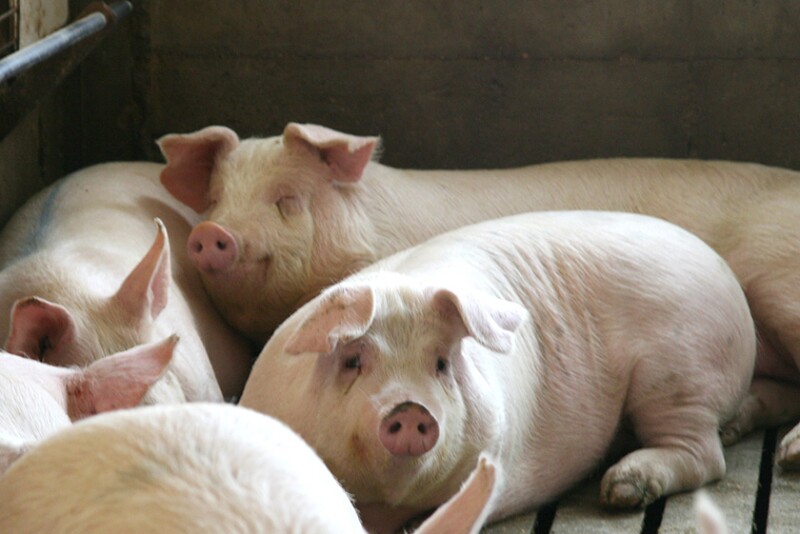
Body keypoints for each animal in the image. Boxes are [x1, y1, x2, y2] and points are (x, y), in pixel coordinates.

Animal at [157, 123, 800, 465]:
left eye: (287, 199)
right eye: (216, 199)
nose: (212, 235)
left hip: (780, 280)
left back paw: (787, 455)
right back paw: (741, 427)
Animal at [238, 211, 756, 532]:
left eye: (442, 363)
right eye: (352, 361)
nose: (410, 409)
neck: (389, 501)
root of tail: (726, 275)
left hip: (679, 372)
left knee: (706, 456)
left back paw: (620, 489)